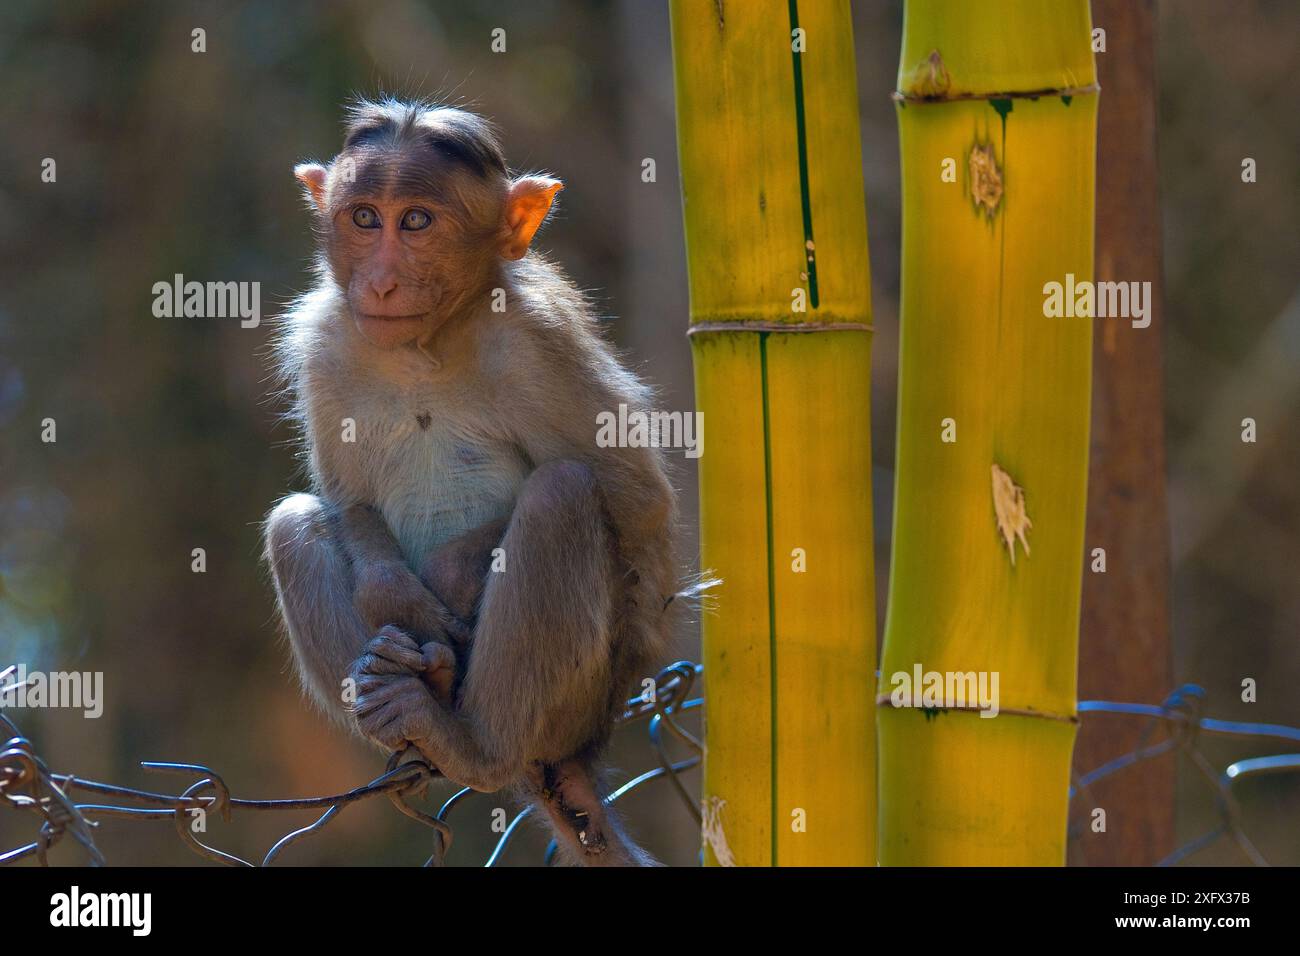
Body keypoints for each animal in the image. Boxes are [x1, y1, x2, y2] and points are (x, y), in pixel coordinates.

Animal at [263, 98, 680, 866]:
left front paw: (454, 575)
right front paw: (392, 595)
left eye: (415, 222)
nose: (380, 282)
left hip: (575, 703)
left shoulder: (540, 343)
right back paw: (402, 694)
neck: (425, 348)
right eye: (363, 218)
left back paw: (472, 742)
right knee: (293, 522)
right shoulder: (324, 341)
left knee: (561, 495)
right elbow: (346, 501)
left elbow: (637, 504)